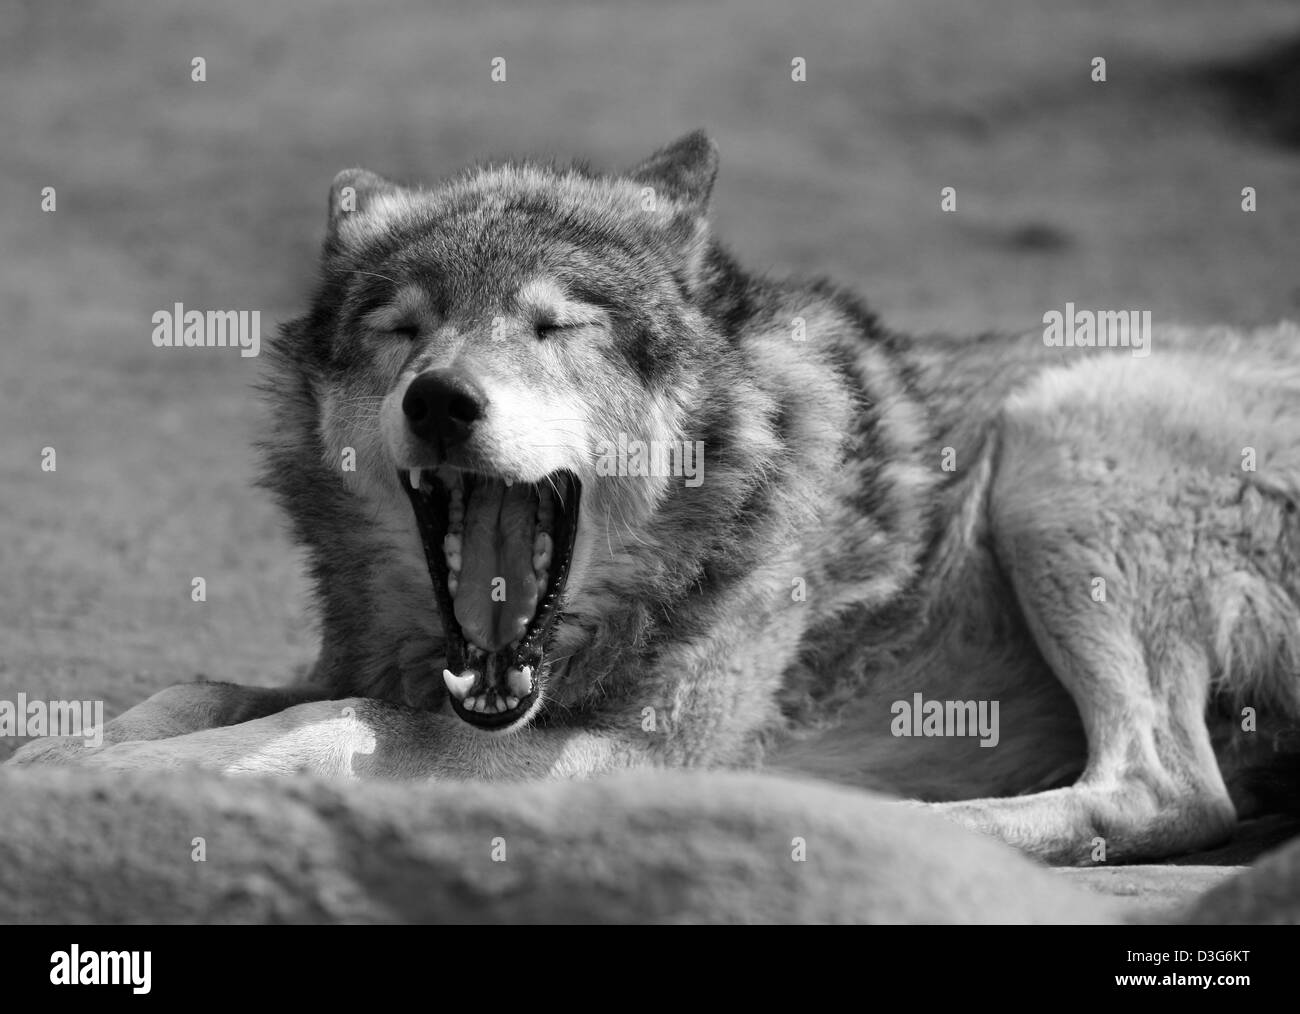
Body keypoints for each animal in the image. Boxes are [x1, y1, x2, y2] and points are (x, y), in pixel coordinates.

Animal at [12, 131, 1300, 866]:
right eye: (403, 329)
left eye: (553, 327)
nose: (441, 401)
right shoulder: (374, 664)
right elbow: (203, 688)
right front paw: (66, 754)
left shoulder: (637, 752)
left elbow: (335, 722)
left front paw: (118, 776)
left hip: (1062, 436)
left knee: (1162, 791)